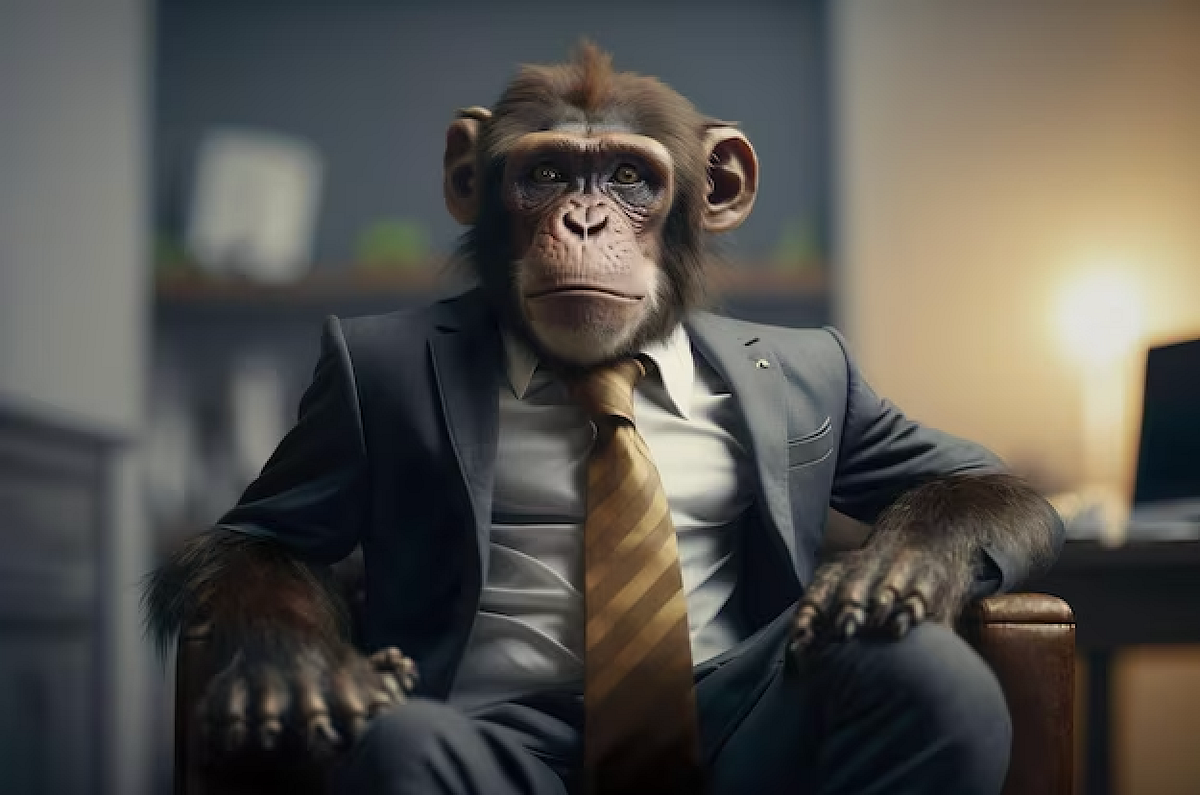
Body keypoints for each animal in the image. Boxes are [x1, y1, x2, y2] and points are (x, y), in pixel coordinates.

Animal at [146, 42, 1061, 794]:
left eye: (627, 176)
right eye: (549, 174)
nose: (584, 220)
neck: (600, 371)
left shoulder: (838, 383)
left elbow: (967, 473)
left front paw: (891, 566)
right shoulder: (344, 395)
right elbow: (264, 537)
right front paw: (295, 666)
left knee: (919, 675)